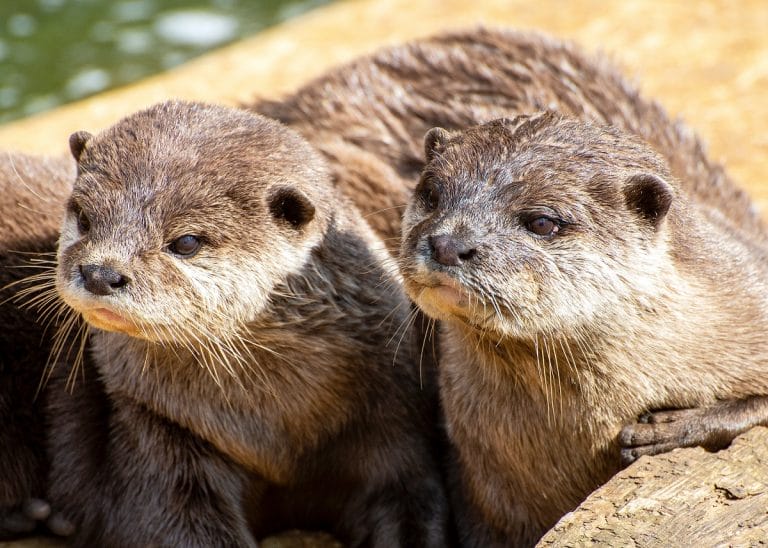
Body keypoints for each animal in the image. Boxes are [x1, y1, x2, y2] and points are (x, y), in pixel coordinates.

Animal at [39, 100, 448, 547]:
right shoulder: (154, 426)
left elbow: (410, 496)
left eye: (186, 242)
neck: (275, 432)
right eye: (83, 217)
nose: (100, 273)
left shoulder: (392, 415)